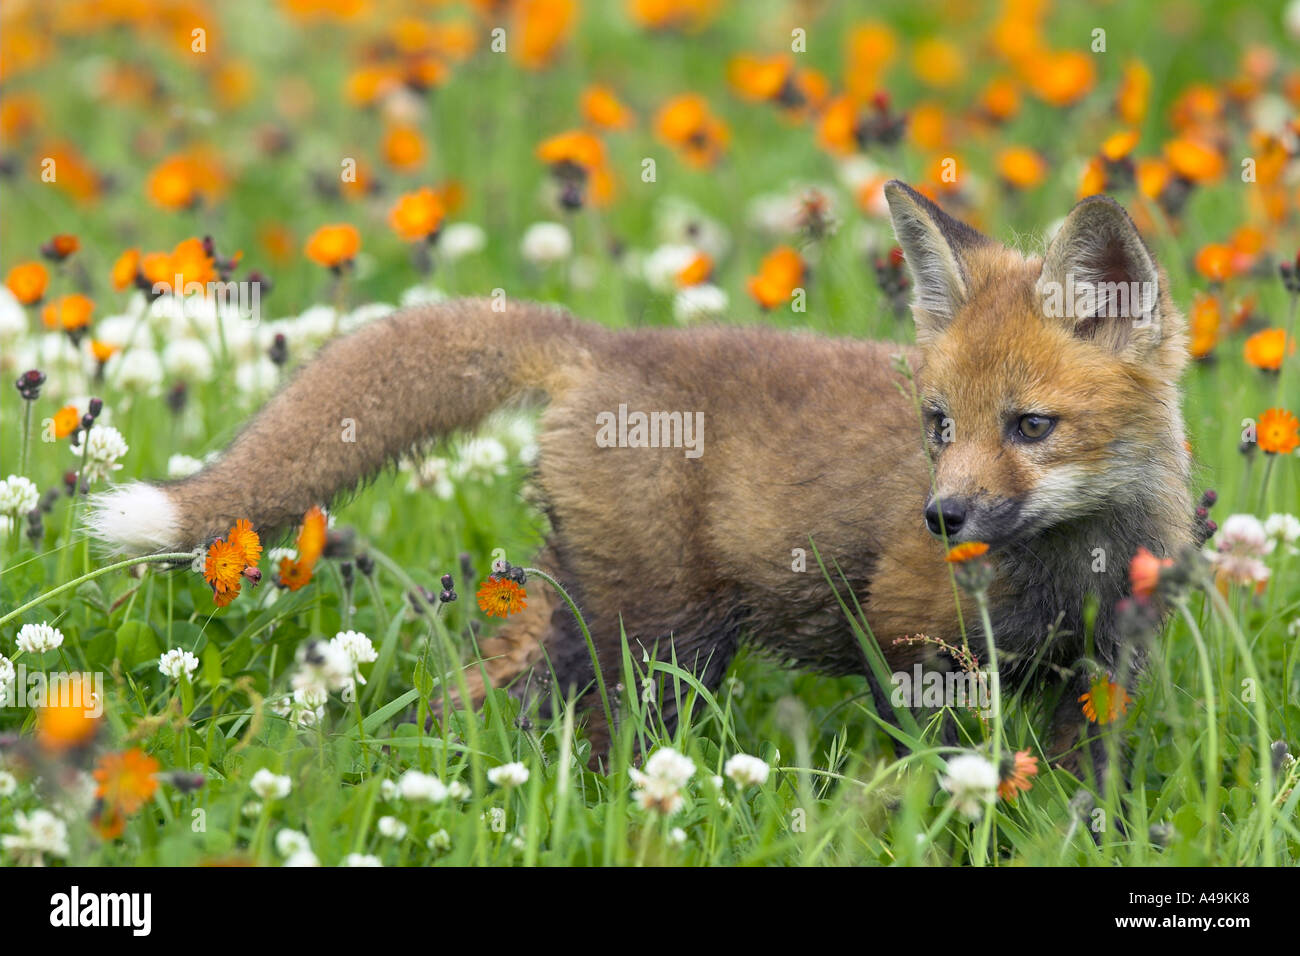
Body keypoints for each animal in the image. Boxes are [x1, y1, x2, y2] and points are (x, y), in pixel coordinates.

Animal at [88, 182, 1195, 784]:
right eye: (939, 425)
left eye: (1029, 426)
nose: (942, 515)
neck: (1075, 566)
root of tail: (606, 342)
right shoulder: (912, 640)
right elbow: (940, 771)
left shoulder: (1104, 670)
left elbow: (1083, 792)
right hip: (662, 637)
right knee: (600, 731)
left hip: (575, 617)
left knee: (465, 698)